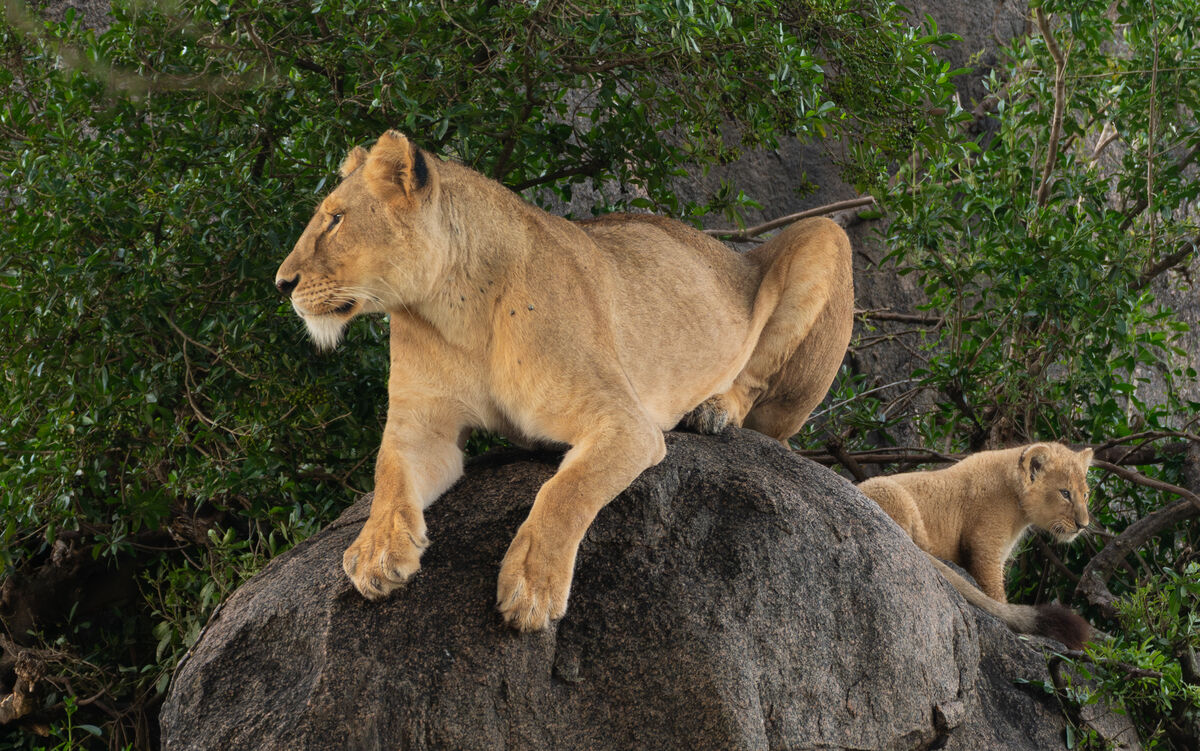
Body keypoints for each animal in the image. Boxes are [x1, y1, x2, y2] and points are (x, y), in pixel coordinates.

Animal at [275, 130, 853, 631]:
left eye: (335, 219)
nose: (282, 283)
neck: (452, 311)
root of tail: (728, 250)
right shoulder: (422, 428)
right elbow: (389, 477)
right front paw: (377, 551)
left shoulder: (625, 422)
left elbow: (566, 491)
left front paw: (532, 585)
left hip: (824, 236)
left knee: (757, 389)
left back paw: (713, 410)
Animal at [857, 443, 1093, 648]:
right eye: (1065, 493)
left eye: (1085, 494)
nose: (1083, 525)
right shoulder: (986, 550)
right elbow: (995, 596)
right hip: (890, 491)